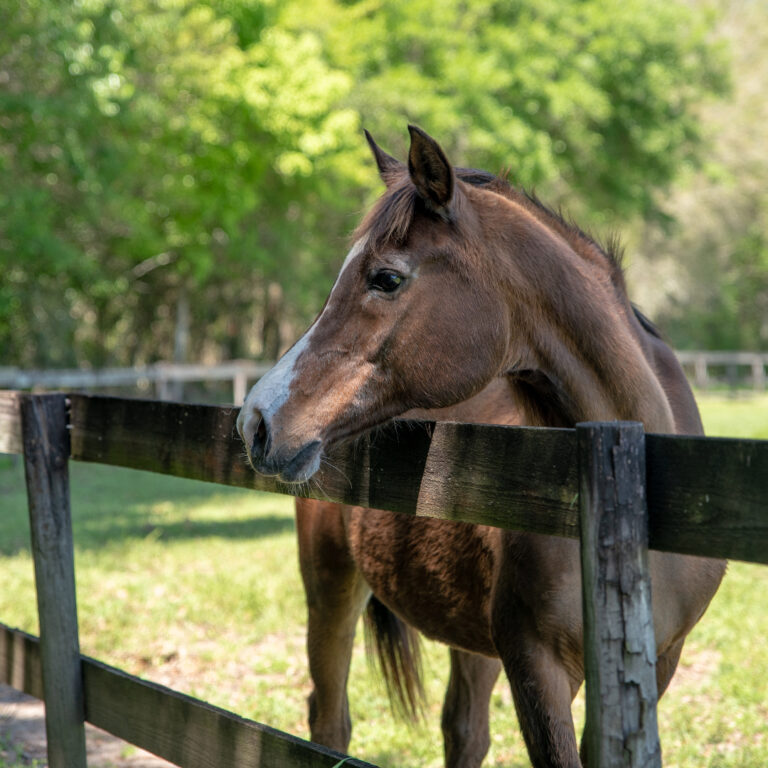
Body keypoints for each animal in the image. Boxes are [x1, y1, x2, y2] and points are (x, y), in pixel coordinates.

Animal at [236, 125, 725, 768]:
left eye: (386, 278)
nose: (256, 420)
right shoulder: (537, 667)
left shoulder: (658, 663)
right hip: (331, 587)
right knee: (329, 719)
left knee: (462, 729)